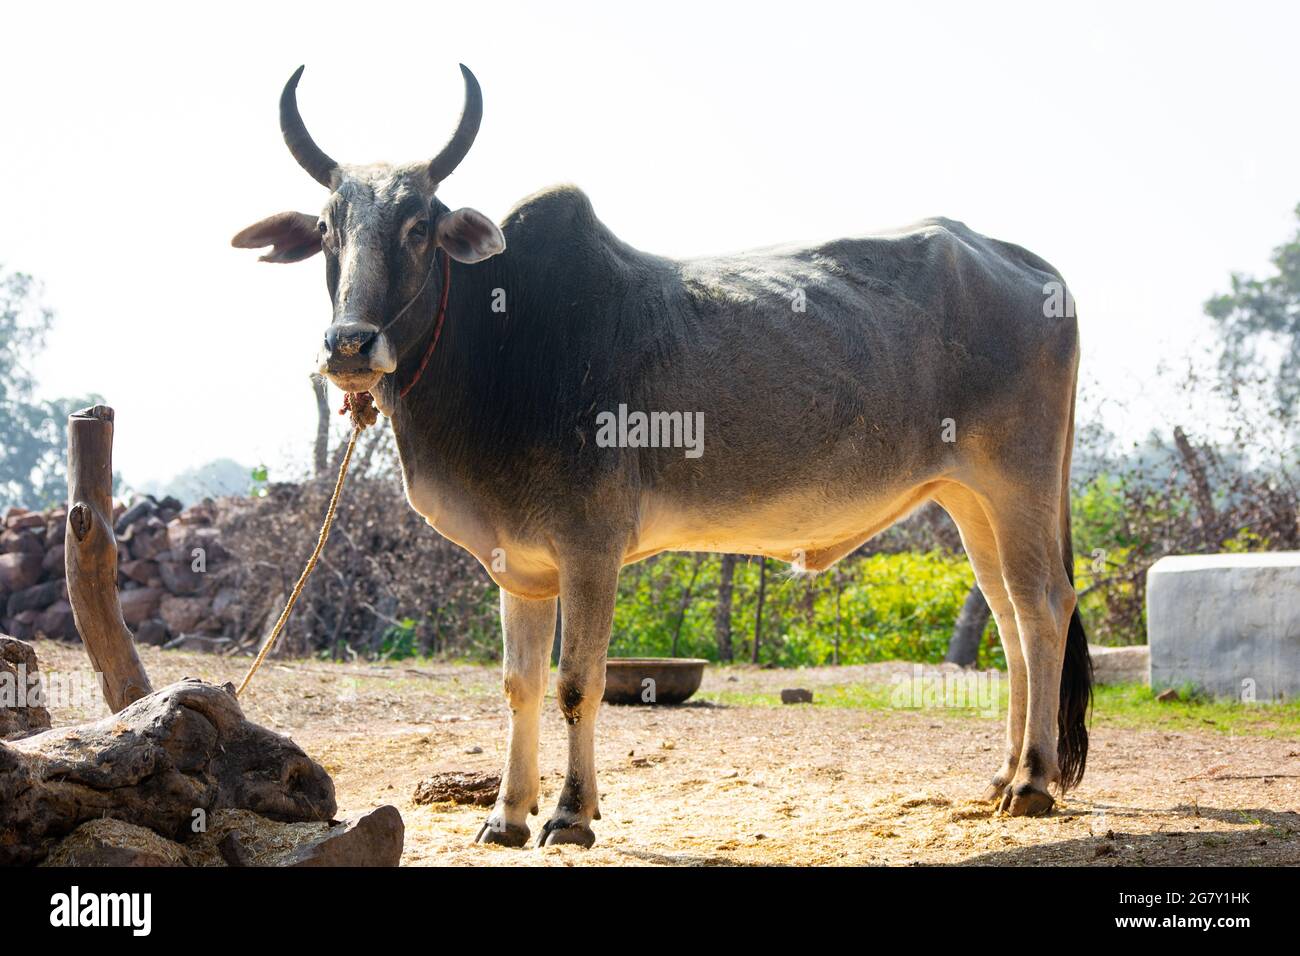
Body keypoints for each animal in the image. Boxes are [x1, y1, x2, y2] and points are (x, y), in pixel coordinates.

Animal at [233, 65, 1092, 849]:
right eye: (328, 228)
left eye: (418, 226)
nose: (349, 345)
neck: (503, 342)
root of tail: (1031, 268)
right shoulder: (520, 562)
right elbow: (517, 685)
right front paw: (507, 815)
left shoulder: (591, 548)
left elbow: (576, 683)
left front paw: (570, 815)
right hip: (968, 499)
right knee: (1009, 620)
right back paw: (1003, 774)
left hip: (1015, 482)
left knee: (1044, 608)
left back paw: (1033, 783)